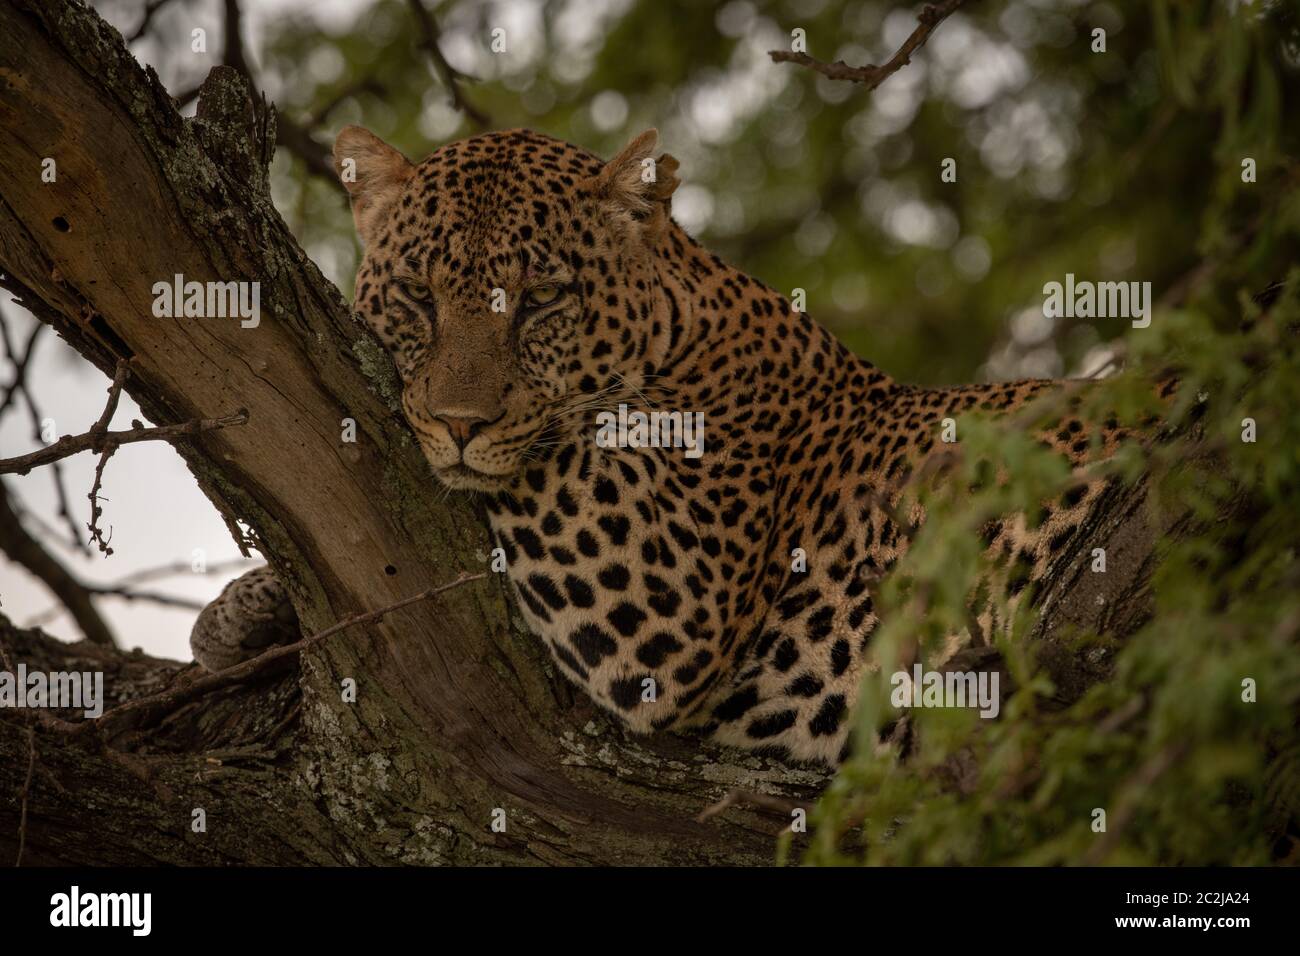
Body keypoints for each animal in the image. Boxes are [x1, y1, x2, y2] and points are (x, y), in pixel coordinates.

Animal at [192, 125, 1147, 766]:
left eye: (541, 298)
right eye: (417, 297)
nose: (461, 423)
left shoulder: (677, 589)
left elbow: (547, 447)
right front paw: (237, 611)